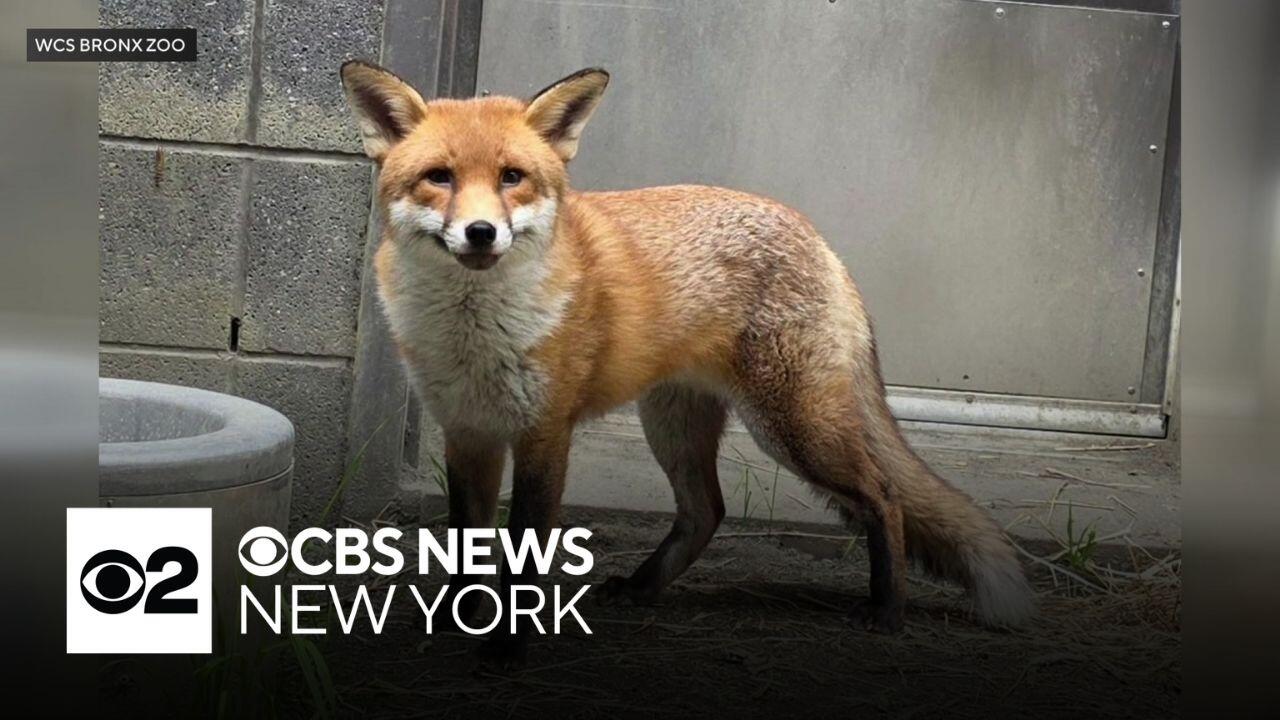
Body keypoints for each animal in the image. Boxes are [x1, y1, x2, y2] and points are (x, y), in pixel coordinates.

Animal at [339, 60, 1033, 667]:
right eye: (440, 177)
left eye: (512, 177)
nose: (481, 232)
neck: (474, 336)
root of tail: (816, 235)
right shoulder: (468, 431)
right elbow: (466, 546)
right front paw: (460, 619)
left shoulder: (544, 434)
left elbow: (525, 561)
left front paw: (508, 648)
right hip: (674, 424)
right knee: (707, 512)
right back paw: (643, 588)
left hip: (793, 428)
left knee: (884, 496)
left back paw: (888, 611)